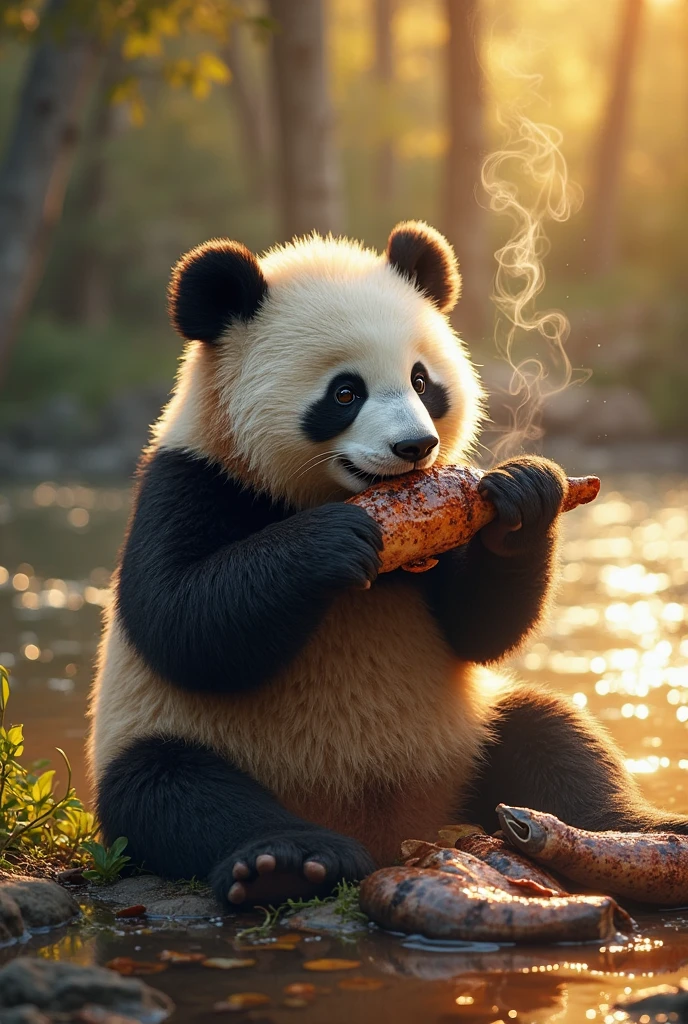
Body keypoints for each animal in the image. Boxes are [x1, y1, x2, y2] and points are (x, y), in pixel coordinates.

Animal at [88, 221, 688, 907]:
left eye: (423, 381)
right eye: (345, 393)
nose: (416, 446)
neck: (323, 493)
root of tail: (397, 832)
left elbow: (478, 630)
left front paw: (526, 497)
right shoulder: (192, 478)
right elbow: (179, 622)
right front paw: (330, 544)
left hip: (467, 742)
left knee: (553, 735)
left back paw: (645, 829)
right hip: (189, 742)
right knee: (171, 790)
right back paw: (287, 861)